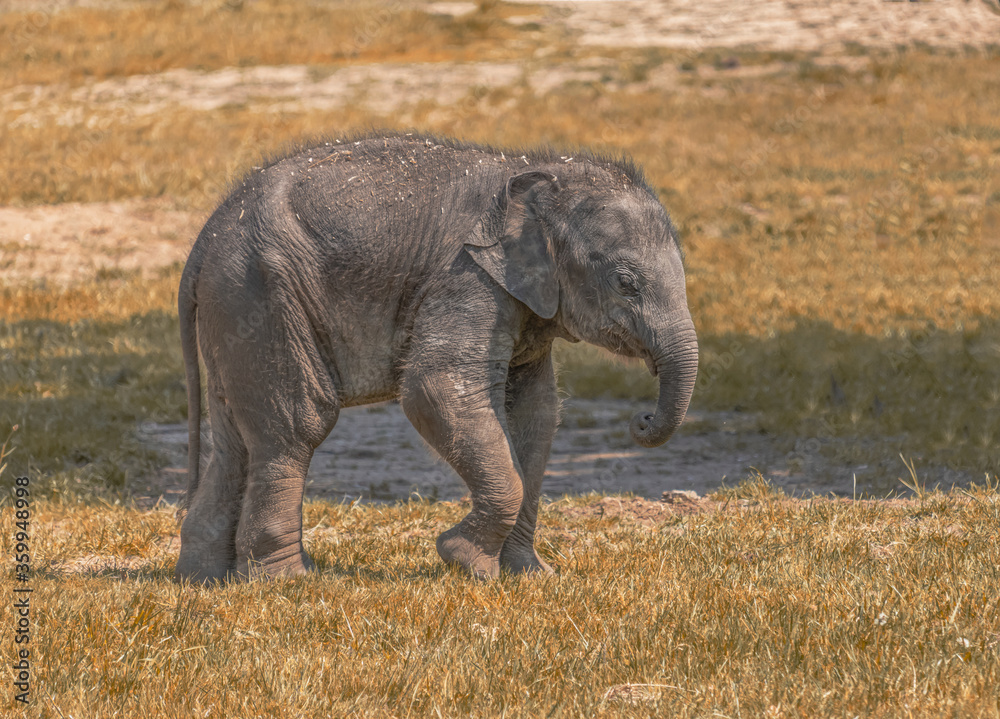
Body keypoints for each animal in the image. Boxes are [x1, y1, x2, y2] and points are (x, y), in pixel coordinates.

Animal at [174, 132, 698, 583]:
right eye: (625, 283)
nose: (642, 419)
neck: (535, 170)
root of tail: (203, 241)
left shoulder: (523, 301)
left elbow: (536, 414)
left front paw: (532, 576)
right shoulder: (465, 277)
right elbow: (435, 388)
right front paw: (466, 563)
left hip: (233, 306)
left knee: (234, 440)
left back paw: (204, 579)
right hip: (263, 295)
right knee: (295, 426)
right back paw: (289, 582)